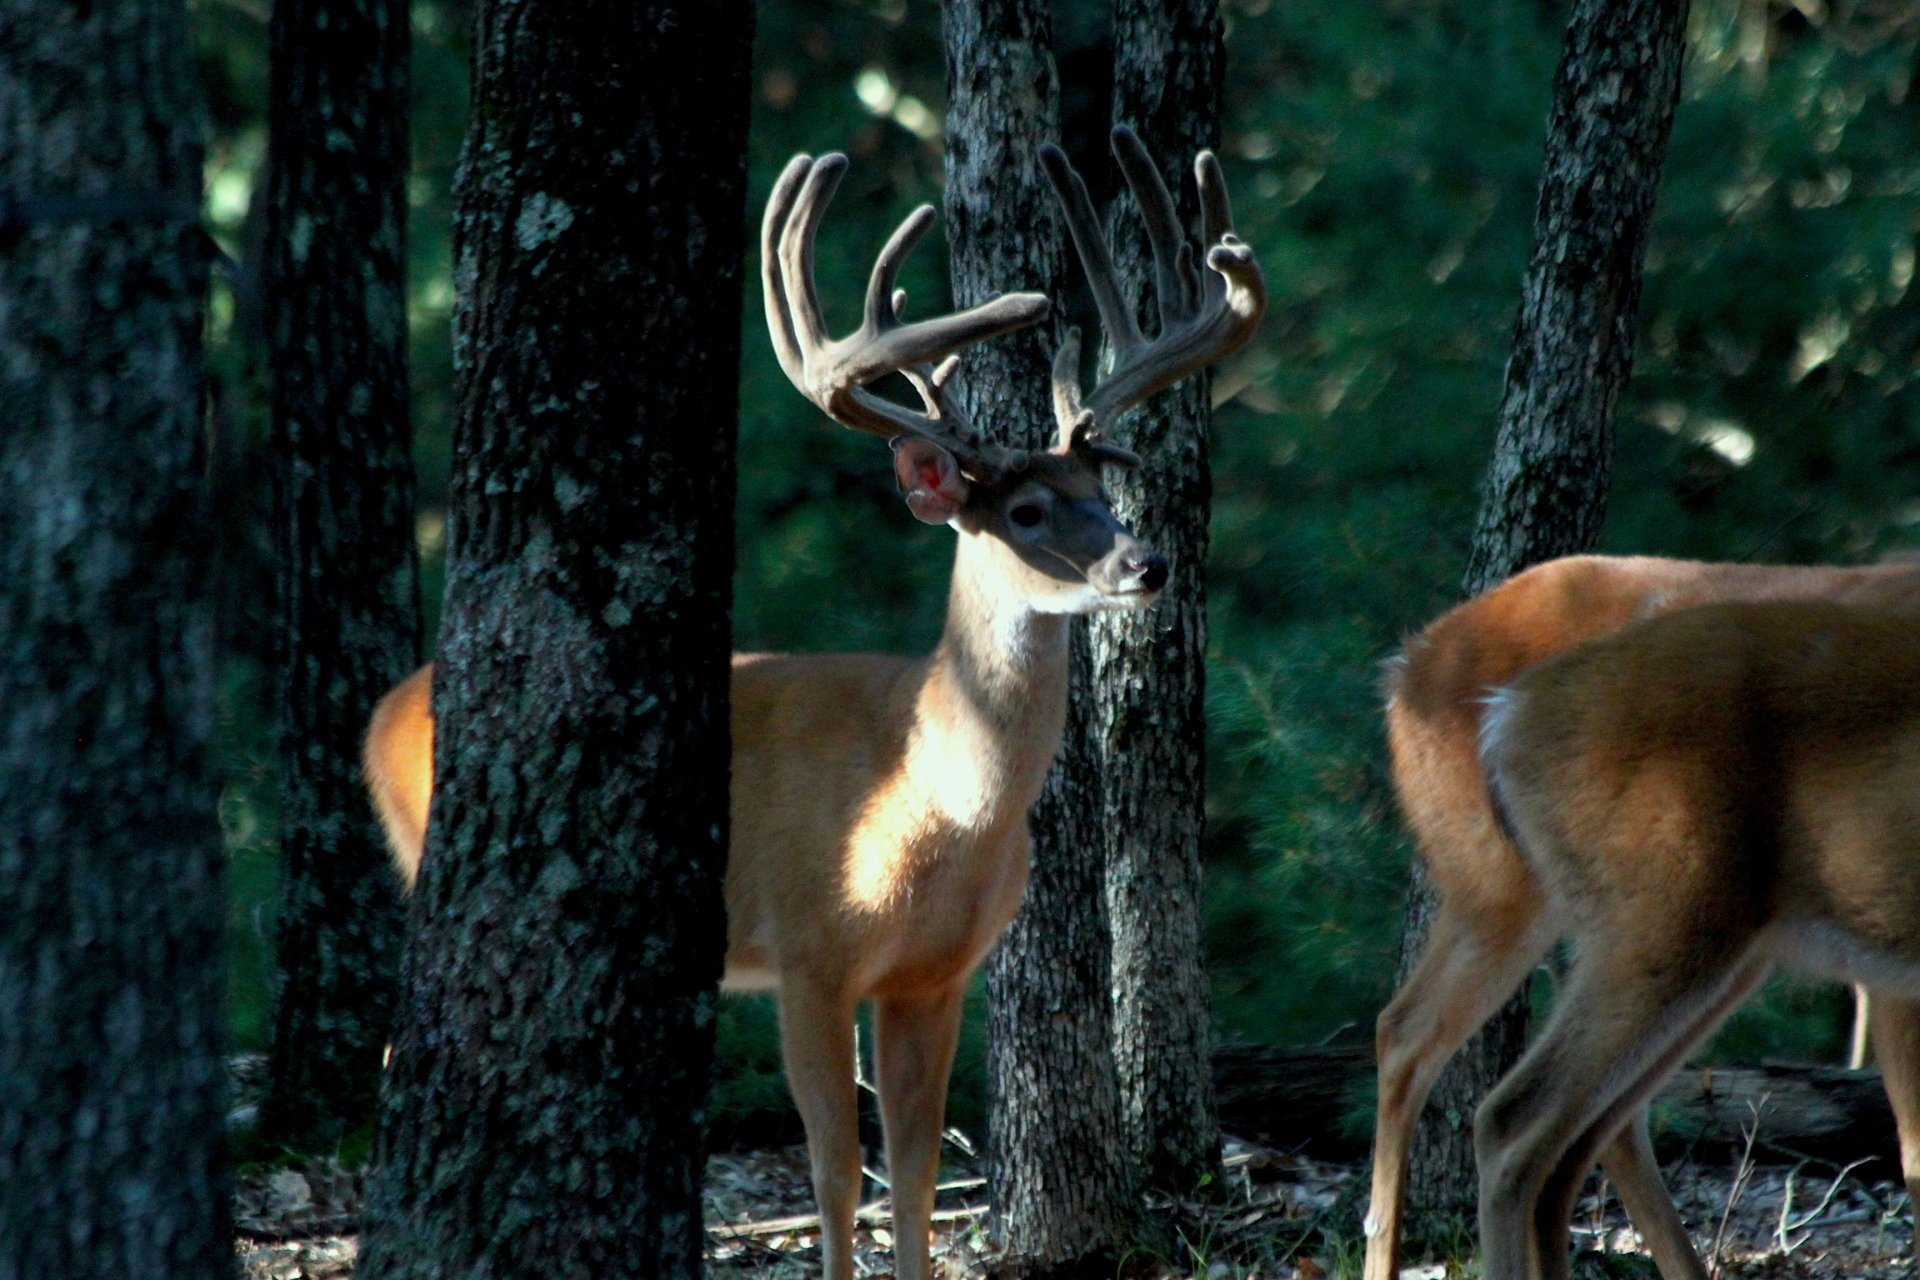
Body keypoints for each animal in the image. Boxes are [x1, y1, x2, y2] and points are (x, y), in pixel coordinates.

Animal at [362, 127, 1264, 1280]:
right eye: (1025, 510)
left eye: (1102, 495)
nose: (1145, 563)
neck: (934, 800)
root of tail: (386, 706)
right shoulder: (808, 950)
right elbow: (838, 1172)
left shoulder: (935, 974)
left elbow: (917, 1173)